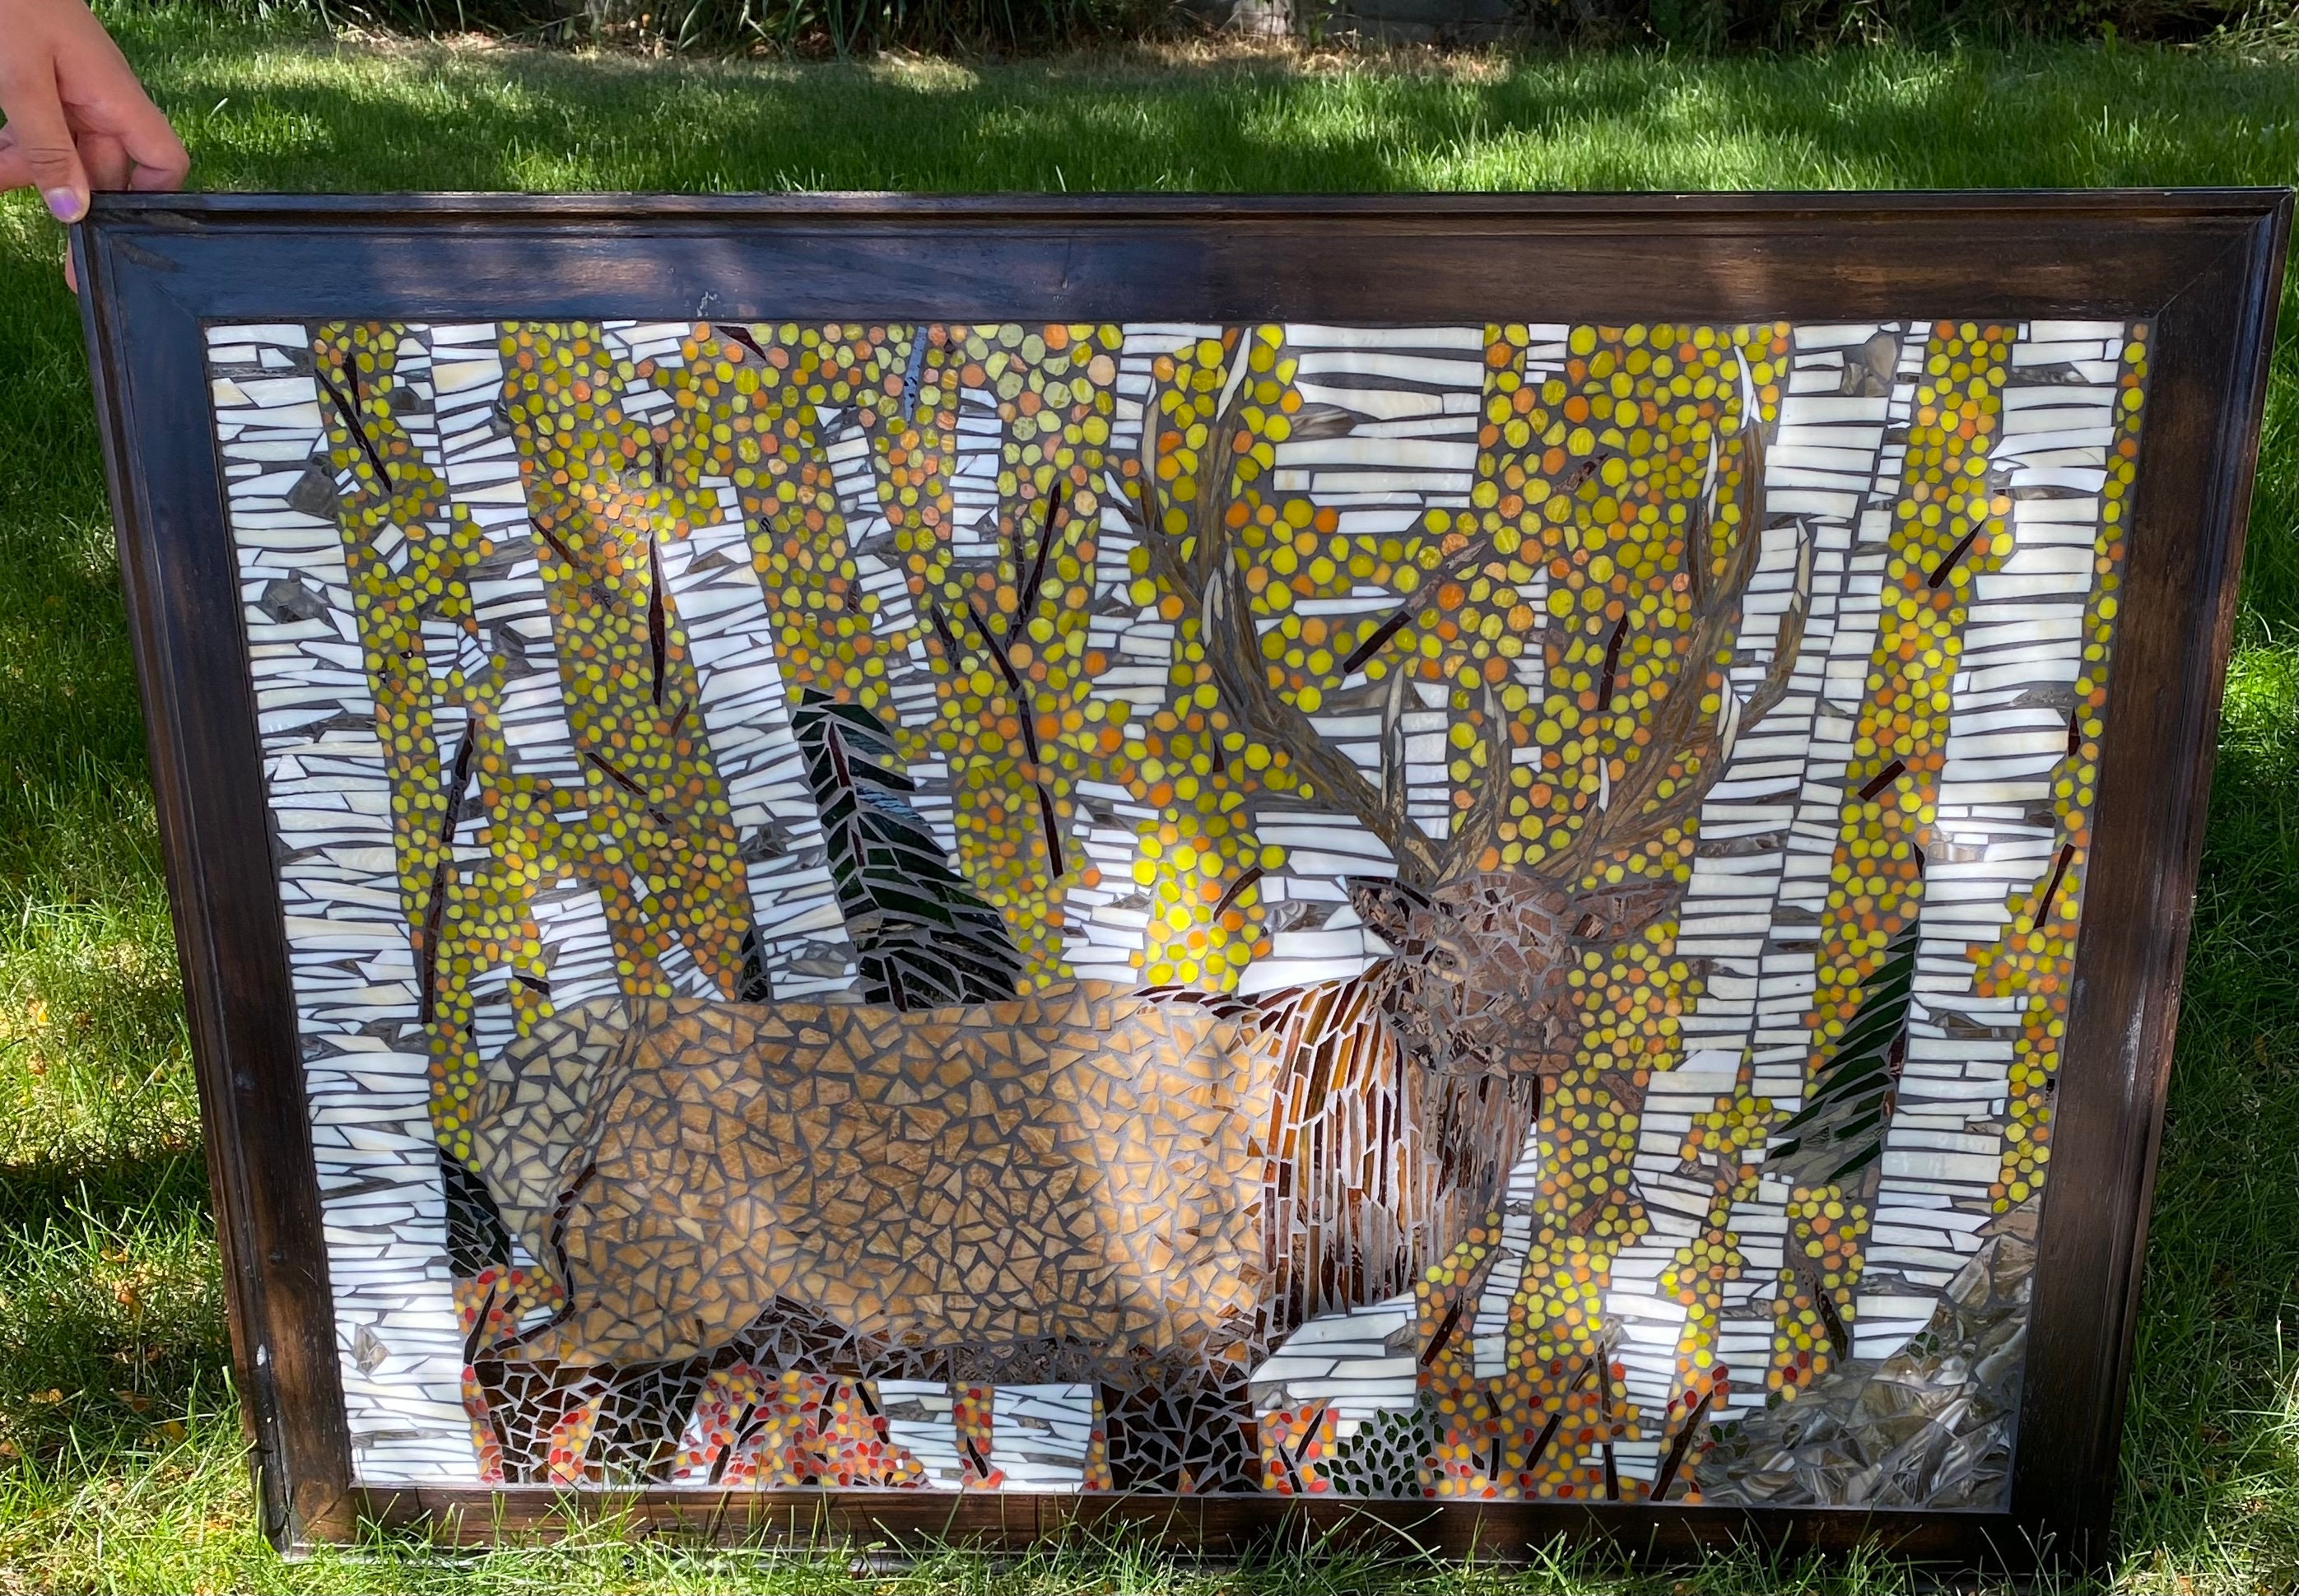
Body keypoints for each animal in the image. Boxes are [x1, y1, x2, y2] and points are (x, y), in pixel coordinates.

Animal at [463, 331, 1808, 1490]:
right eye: (1434, 946)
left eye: (1568, 944)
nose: (1540, 1033)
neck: (1303, 1207)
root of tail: (523, 1100)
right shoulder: (1166, 1330)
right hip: (665, 1267)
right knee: (511, 1370)